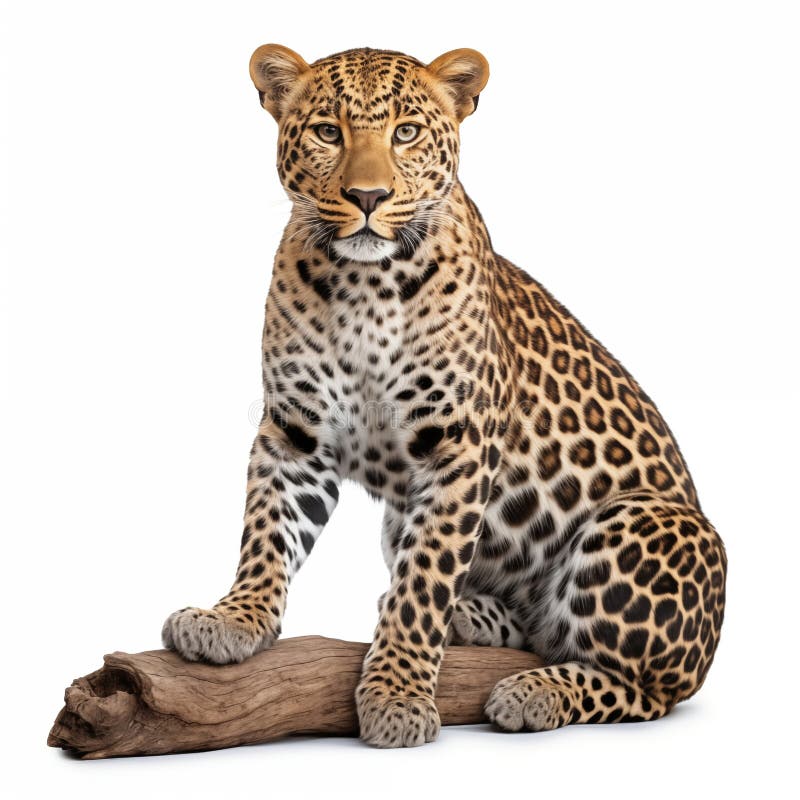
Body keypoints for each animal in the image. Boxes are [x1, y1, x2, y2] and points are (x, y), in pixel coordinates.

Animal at [162, 44, 727, 748]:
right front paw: (235, 619)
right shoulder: (295, 433)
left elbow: (424, 581)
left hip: (642, 521)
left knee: (644, 688)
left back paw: (533, 693)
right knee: (537, 633)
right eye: (327, 132)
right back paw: (474, 619)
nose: (368, 196)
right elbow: (266, 533)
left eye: (406, 132)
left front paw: (396, 696)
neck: (365, 287)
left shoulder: (457, 448)